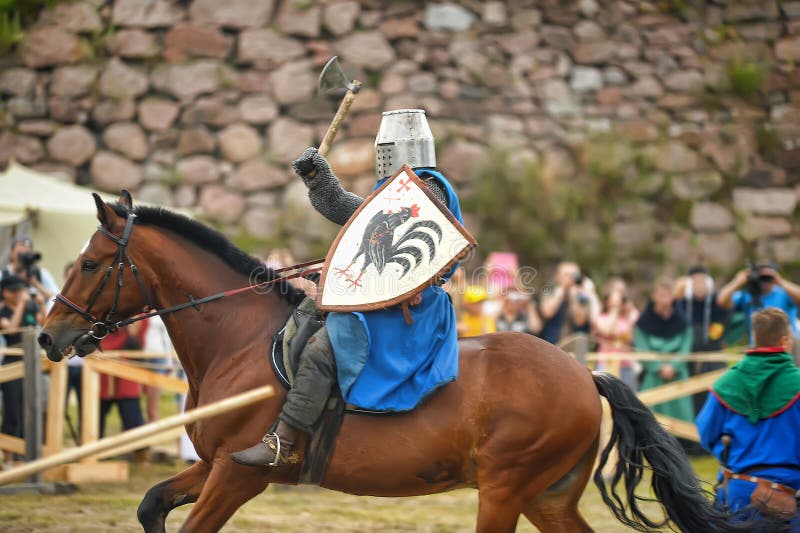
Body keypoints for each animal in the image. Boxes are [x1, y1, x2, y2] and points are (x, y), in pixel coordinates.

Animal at [38, 191, 743, 533]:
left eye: (92, 264)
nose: (48, 337)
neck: (237, 340)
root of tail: (583, 374)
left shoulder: (240, 476)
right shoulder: (212, 467)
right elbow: (151, 504)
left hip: (505, 491)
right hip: (547, 499)